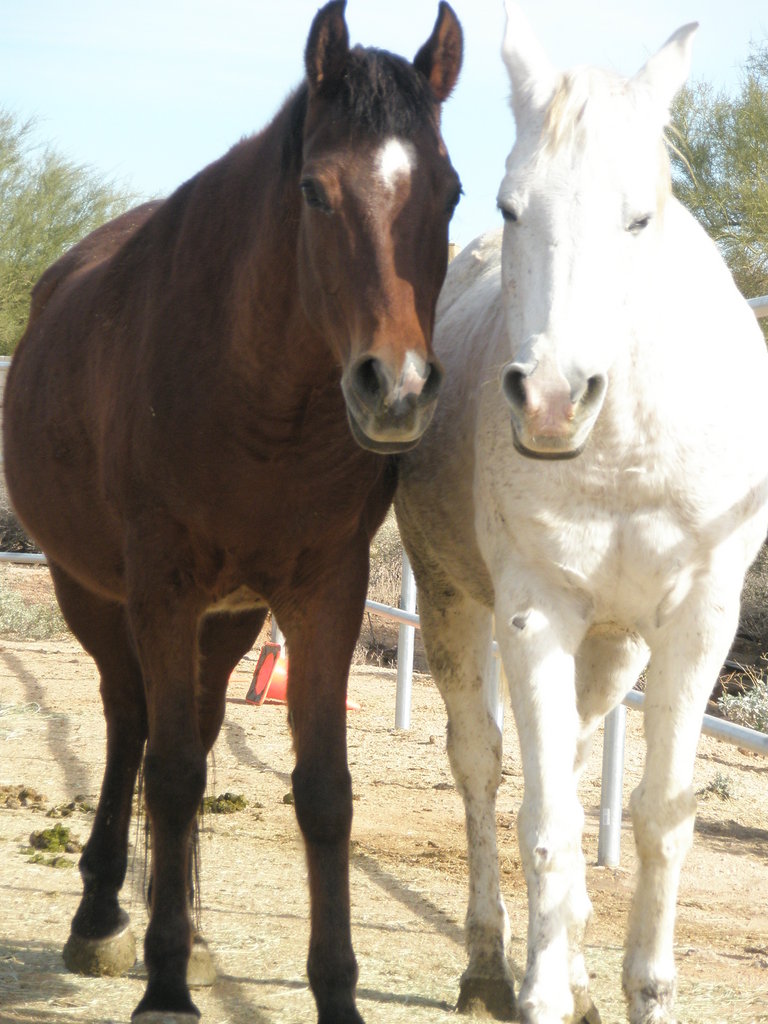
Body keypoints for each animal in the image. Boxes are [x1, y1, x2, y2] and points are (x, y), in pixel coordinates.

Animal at [2, 3, 463, 1021]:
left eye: (451, 194)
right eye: (316, 192)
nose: (396, 389)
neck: (257, 400)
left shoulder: (323, 592)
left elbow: (322, 790)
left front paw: (335, 994)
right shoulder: (162, 590)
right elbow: (171, 776)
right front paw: (165, 986)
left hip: (228, 619)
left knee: (194, 729)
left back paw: (184, 924)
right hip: (96, 596)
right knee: (131, 723)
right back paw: (103, 914)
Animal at [395, 5, 768, 1023]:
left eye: (640, 215)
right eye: (509, 206)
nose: (554, 401)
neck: (627, 452)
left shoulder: (697, 620)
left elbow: (662, 817)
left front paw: (642, 989)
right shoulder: (534, 611)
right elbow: (548, 819)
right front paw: (540, 989)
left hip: (614, 646)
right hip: (452, 602)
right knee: (483, 764)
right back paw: (494, 962)